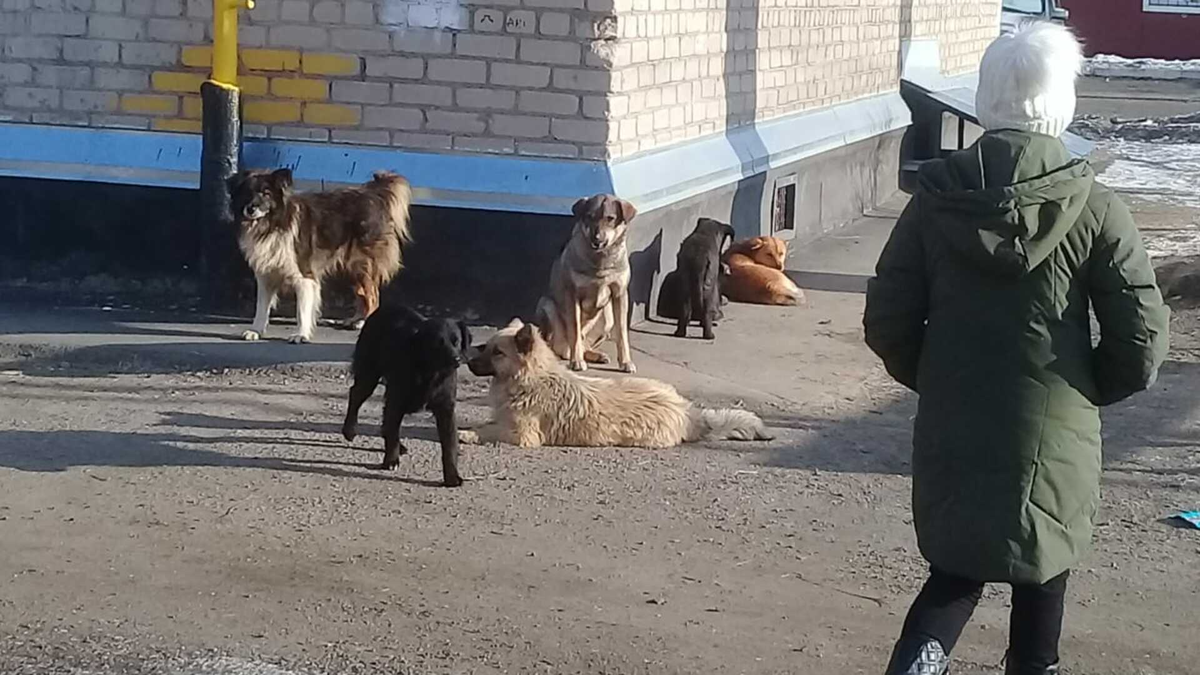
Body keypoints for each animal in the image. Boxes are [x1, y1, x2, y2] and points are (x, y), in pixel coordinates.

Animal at [228, 165, 412, 343]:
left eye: (266, 193)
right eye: (247, 193)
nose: (251, 209)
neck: (273, 224)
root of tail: (374, 193)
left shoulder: (304, 276)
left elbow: (302, 311)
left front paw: (301, 335)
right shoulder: (266, 276)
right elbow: (261, 307)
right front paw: (255, 331)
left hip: (362, 265)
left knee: (373, 297)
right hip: (350, 268)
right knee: (363, 295)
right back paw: (356, 320)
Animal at [343, 302, 472, 485]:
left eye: (457, 341)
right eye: (438, 343)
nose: (456, 360)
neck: (430, 372)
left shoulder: (445, 408)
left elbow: (449, 445)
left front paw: (452, 476)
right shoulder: (396, 400)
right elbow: (392, 432)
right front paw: (391, 460)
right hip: (369, 375)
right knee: (355, 395)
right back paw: (349, 430)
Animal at [453, 314, 772, 446]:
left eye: (497, 352)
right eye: (486, 347)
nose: (466, 361)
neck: (531, 378)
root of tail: (687, 411)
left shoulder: (522, 435)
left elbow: (490, 431)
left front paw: (467, 435)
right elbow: (487, 423)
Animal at [535, 194, 638, 369]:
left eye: (610, 218)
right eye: (589, 216)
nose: (597, 240)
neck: (601, 260)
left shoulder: (620, 294)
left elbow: (622, 333)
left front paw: (626, 362)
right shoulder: (573, 295)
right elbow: (575, 331)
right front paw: (577, 361)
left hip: (607, 318)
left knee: (585, 345)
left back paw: (596, 355)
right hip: (546, 306)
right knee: (558, 344)